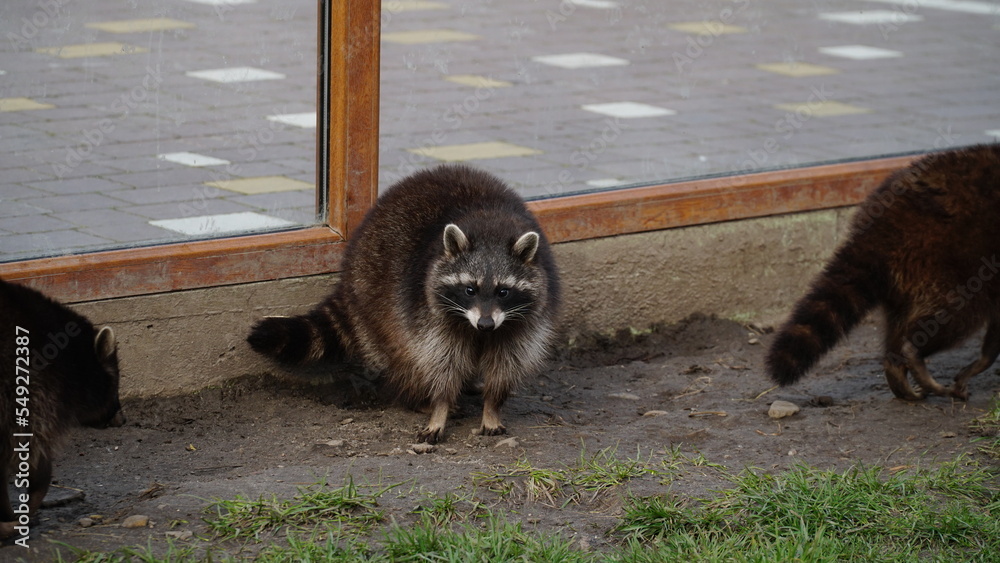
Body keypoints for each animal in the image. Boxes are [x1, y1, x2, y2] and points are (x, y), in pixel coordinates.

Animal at [248, 164, 560, 443]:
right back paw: (415, 396)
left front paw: (492, 406)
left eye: (503, 292)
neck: (490, 228)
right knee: (406, 356)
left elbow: (507, 362)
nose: (485, 324)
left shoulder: (524, 320)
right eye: (469, 290)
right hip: (376, 295)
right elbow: (440, 361)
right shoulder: (428, 312)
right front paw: (439, 406)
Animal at [766, 144, 1000, 400]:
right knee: (960, 312)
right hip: (955, 260)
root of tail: (881, 227)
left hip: (910, 276)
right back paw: (914, 353)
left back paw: (896, 370)